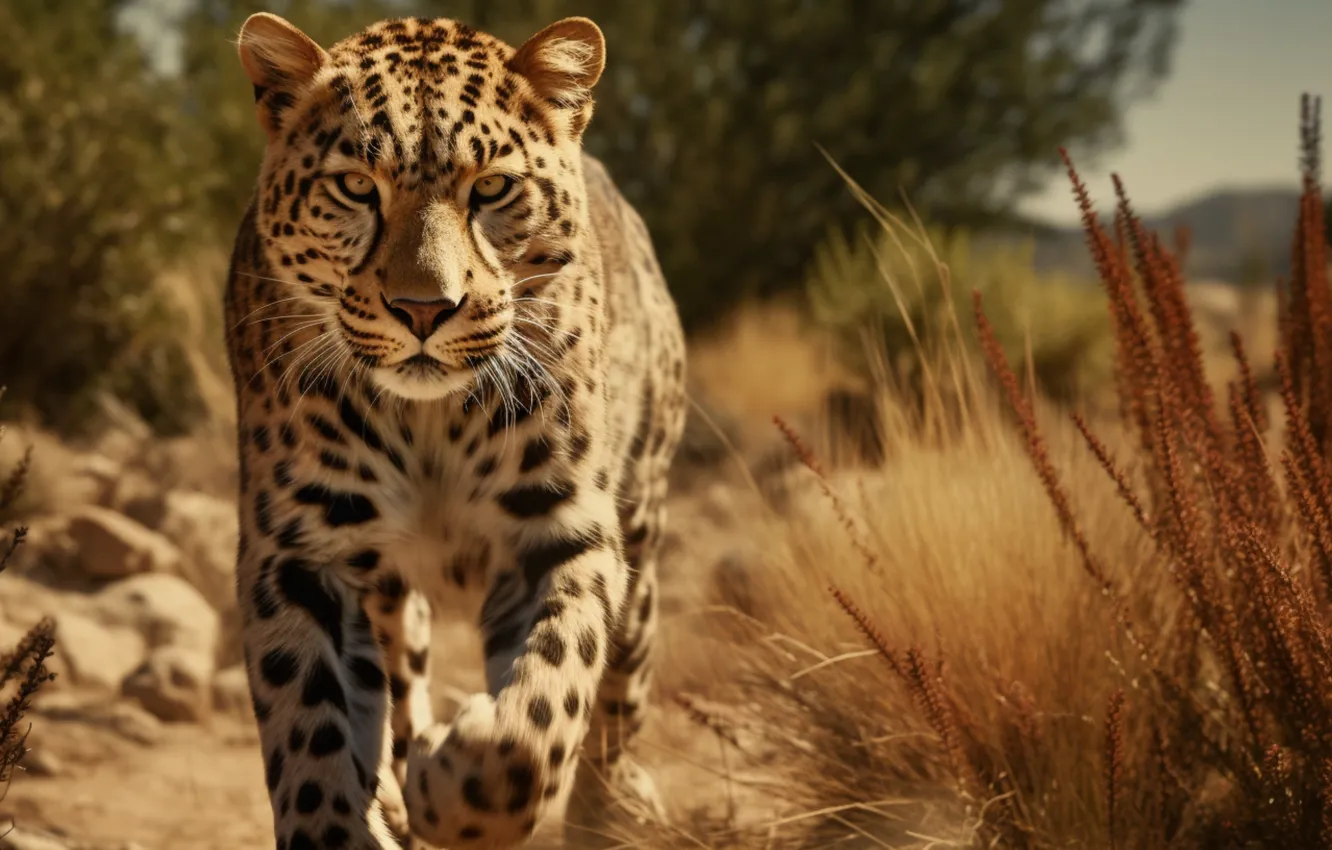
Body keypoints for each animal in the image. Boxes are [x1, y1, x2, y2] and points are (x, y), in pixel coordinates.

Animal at [223, 11, 686, 849]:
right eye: (355, 187)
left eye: (492, 188)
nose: (423, 309)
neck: (428, 420)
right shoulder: (300, 549)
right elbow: (310, 729)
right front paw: (370, 807)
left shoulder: (561, 531)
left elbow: (538, 716)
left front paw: (454, 783)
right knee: (398, 677)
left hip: (644, 521)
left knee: (621, 687)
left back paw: (609, 806)